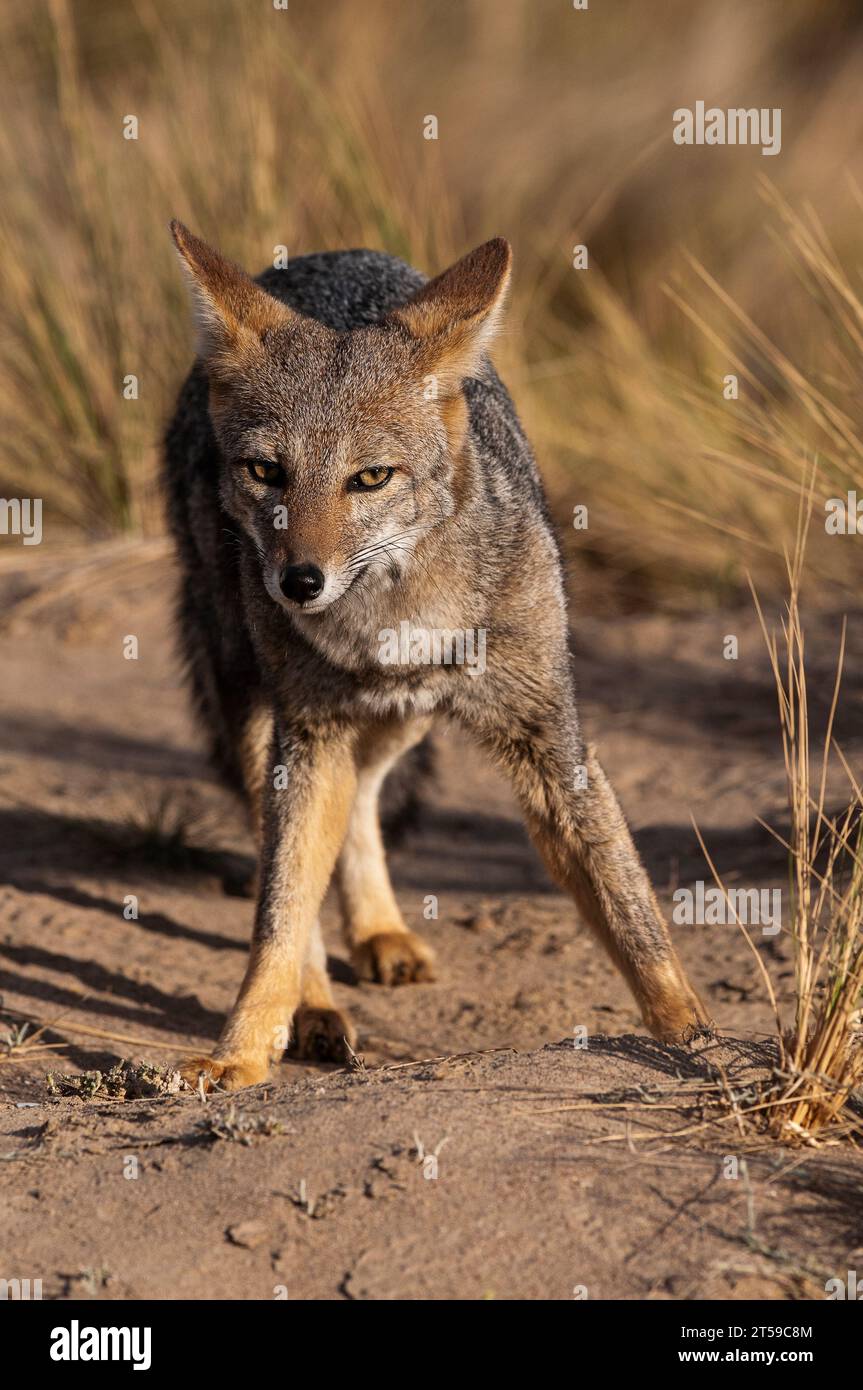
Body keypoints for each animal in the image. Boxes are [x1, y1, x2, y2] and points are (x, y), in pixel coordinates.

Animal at [163, 221, 711, 1091]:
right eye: (266, 472)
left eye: (370, 478)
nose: (298, 582)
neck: (395, 616)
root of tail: (318, 255)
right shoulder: (308, 734)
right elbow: (278, 913)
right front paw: (241, 1050)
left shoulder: (547, 736)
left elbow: (630, 912)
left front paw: (695, 1038)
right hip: (264, 712)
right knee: (287, 846)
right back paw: (315, 1011)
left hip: (403, 720)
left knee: (361, 801)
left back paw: (378, 932)